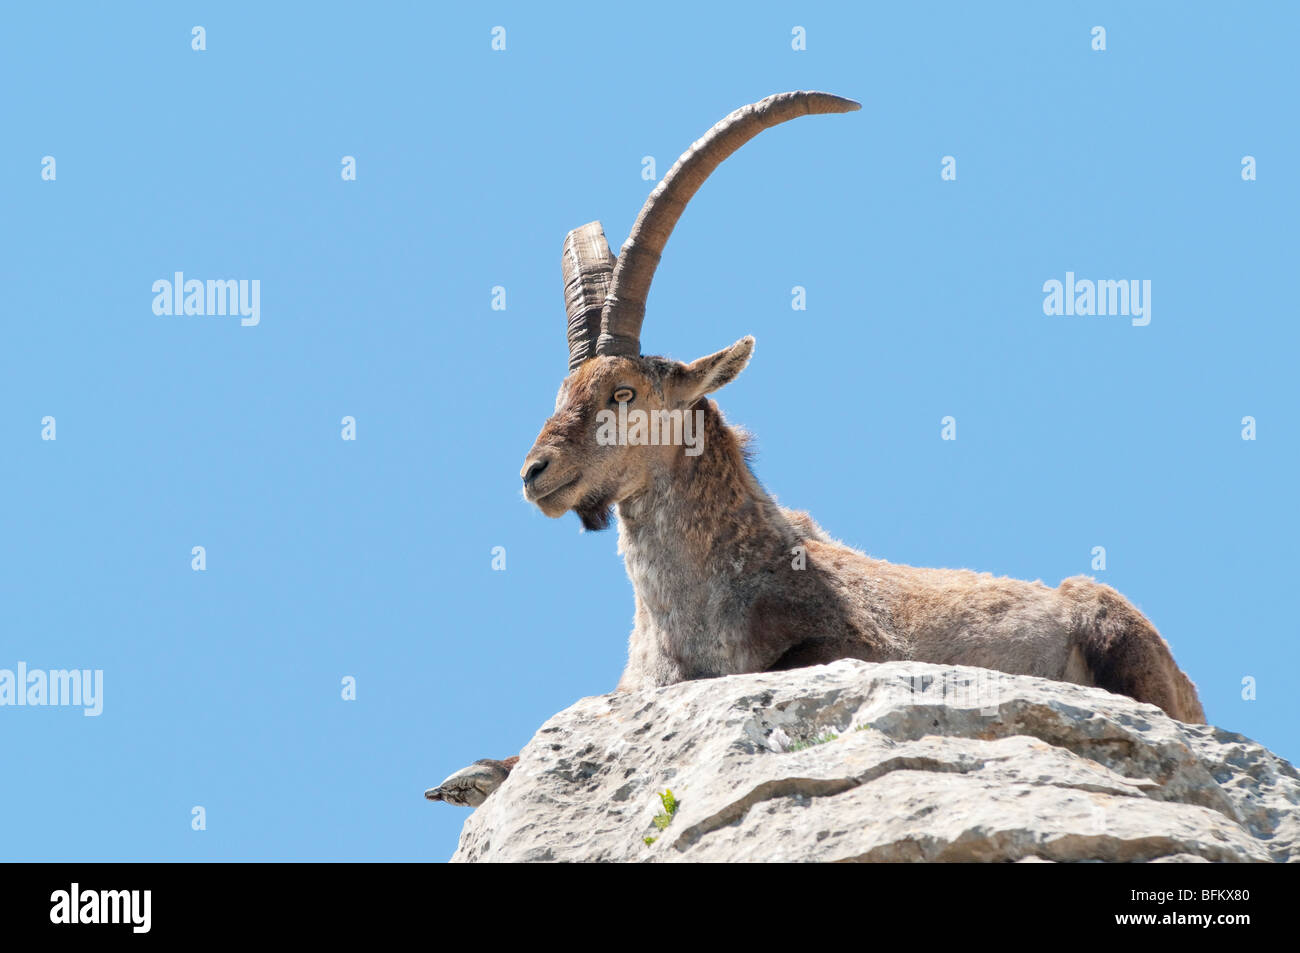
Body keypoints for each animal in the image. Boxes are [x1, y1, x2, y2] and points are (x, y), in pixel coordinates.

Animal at [426, 91, 1204, 808]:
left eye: (623, 393)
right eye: (562, 390)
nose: (535, 472)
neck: (695, 605)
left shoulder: (855, 646)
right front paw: (469, 775)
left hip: (1113, 626)